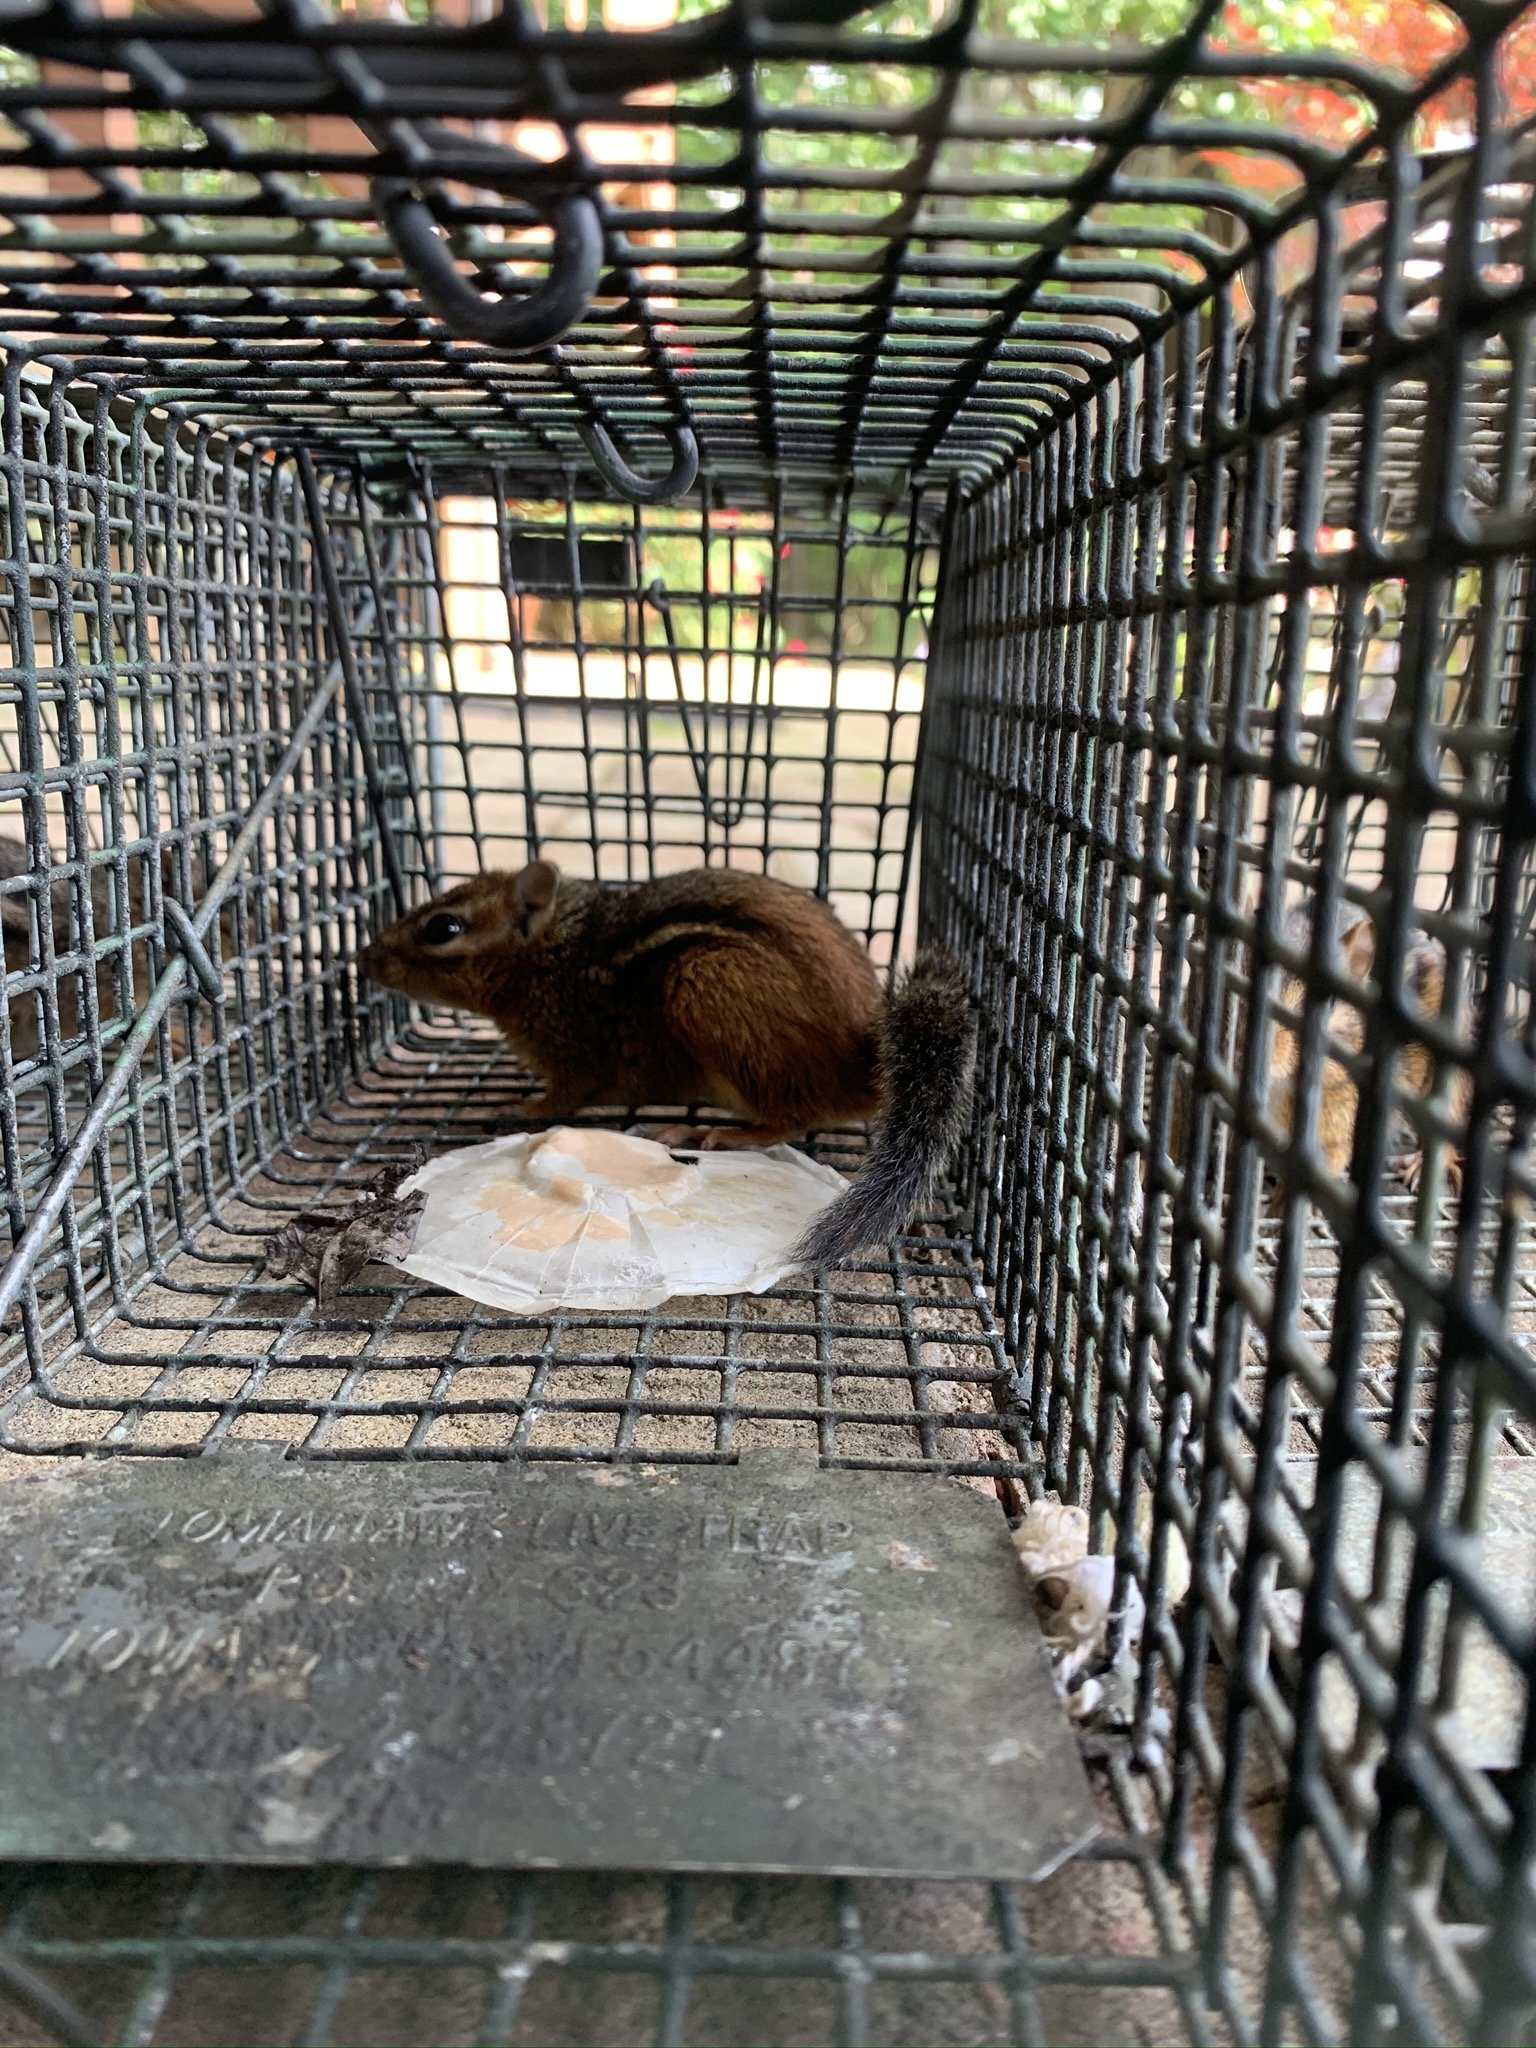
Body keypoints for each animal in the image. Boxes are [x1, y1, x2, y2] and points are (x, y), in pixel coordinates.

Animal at [358, 862, 977, 1267]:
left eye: (443, 927)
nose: (363, 958)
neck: (554, 956)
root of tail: (868, 1055)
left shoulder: (575, 1058)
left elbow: (563, 1097)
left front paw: (519, 1105)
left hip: (705, 979)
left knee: (790, 1116)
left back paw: (717, 1133)